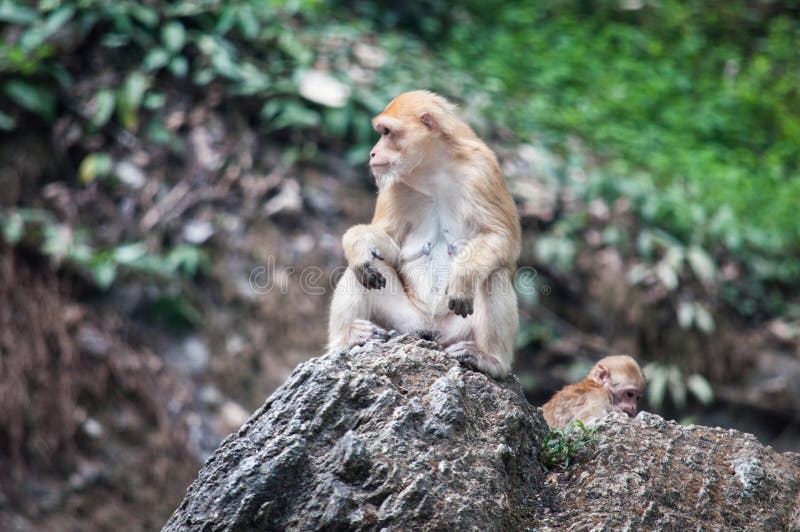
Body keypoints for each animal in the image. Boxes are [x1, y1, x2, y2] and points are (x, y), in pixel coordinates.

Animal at [327, 90, 521, 378]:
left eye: (386, 132)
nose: (373, 153)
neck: (433, 171)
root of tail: (431, 329)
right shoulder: (394, 183)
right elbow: (388, 246)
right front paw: (359, 244)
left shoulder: (482, 170)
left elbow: (501, 237)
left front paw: (463, 277)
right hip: (405, 322)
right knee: (361, 271)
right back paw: (347, 338)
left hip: (457, 330)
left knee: (493, 275)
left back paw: (490, 360)